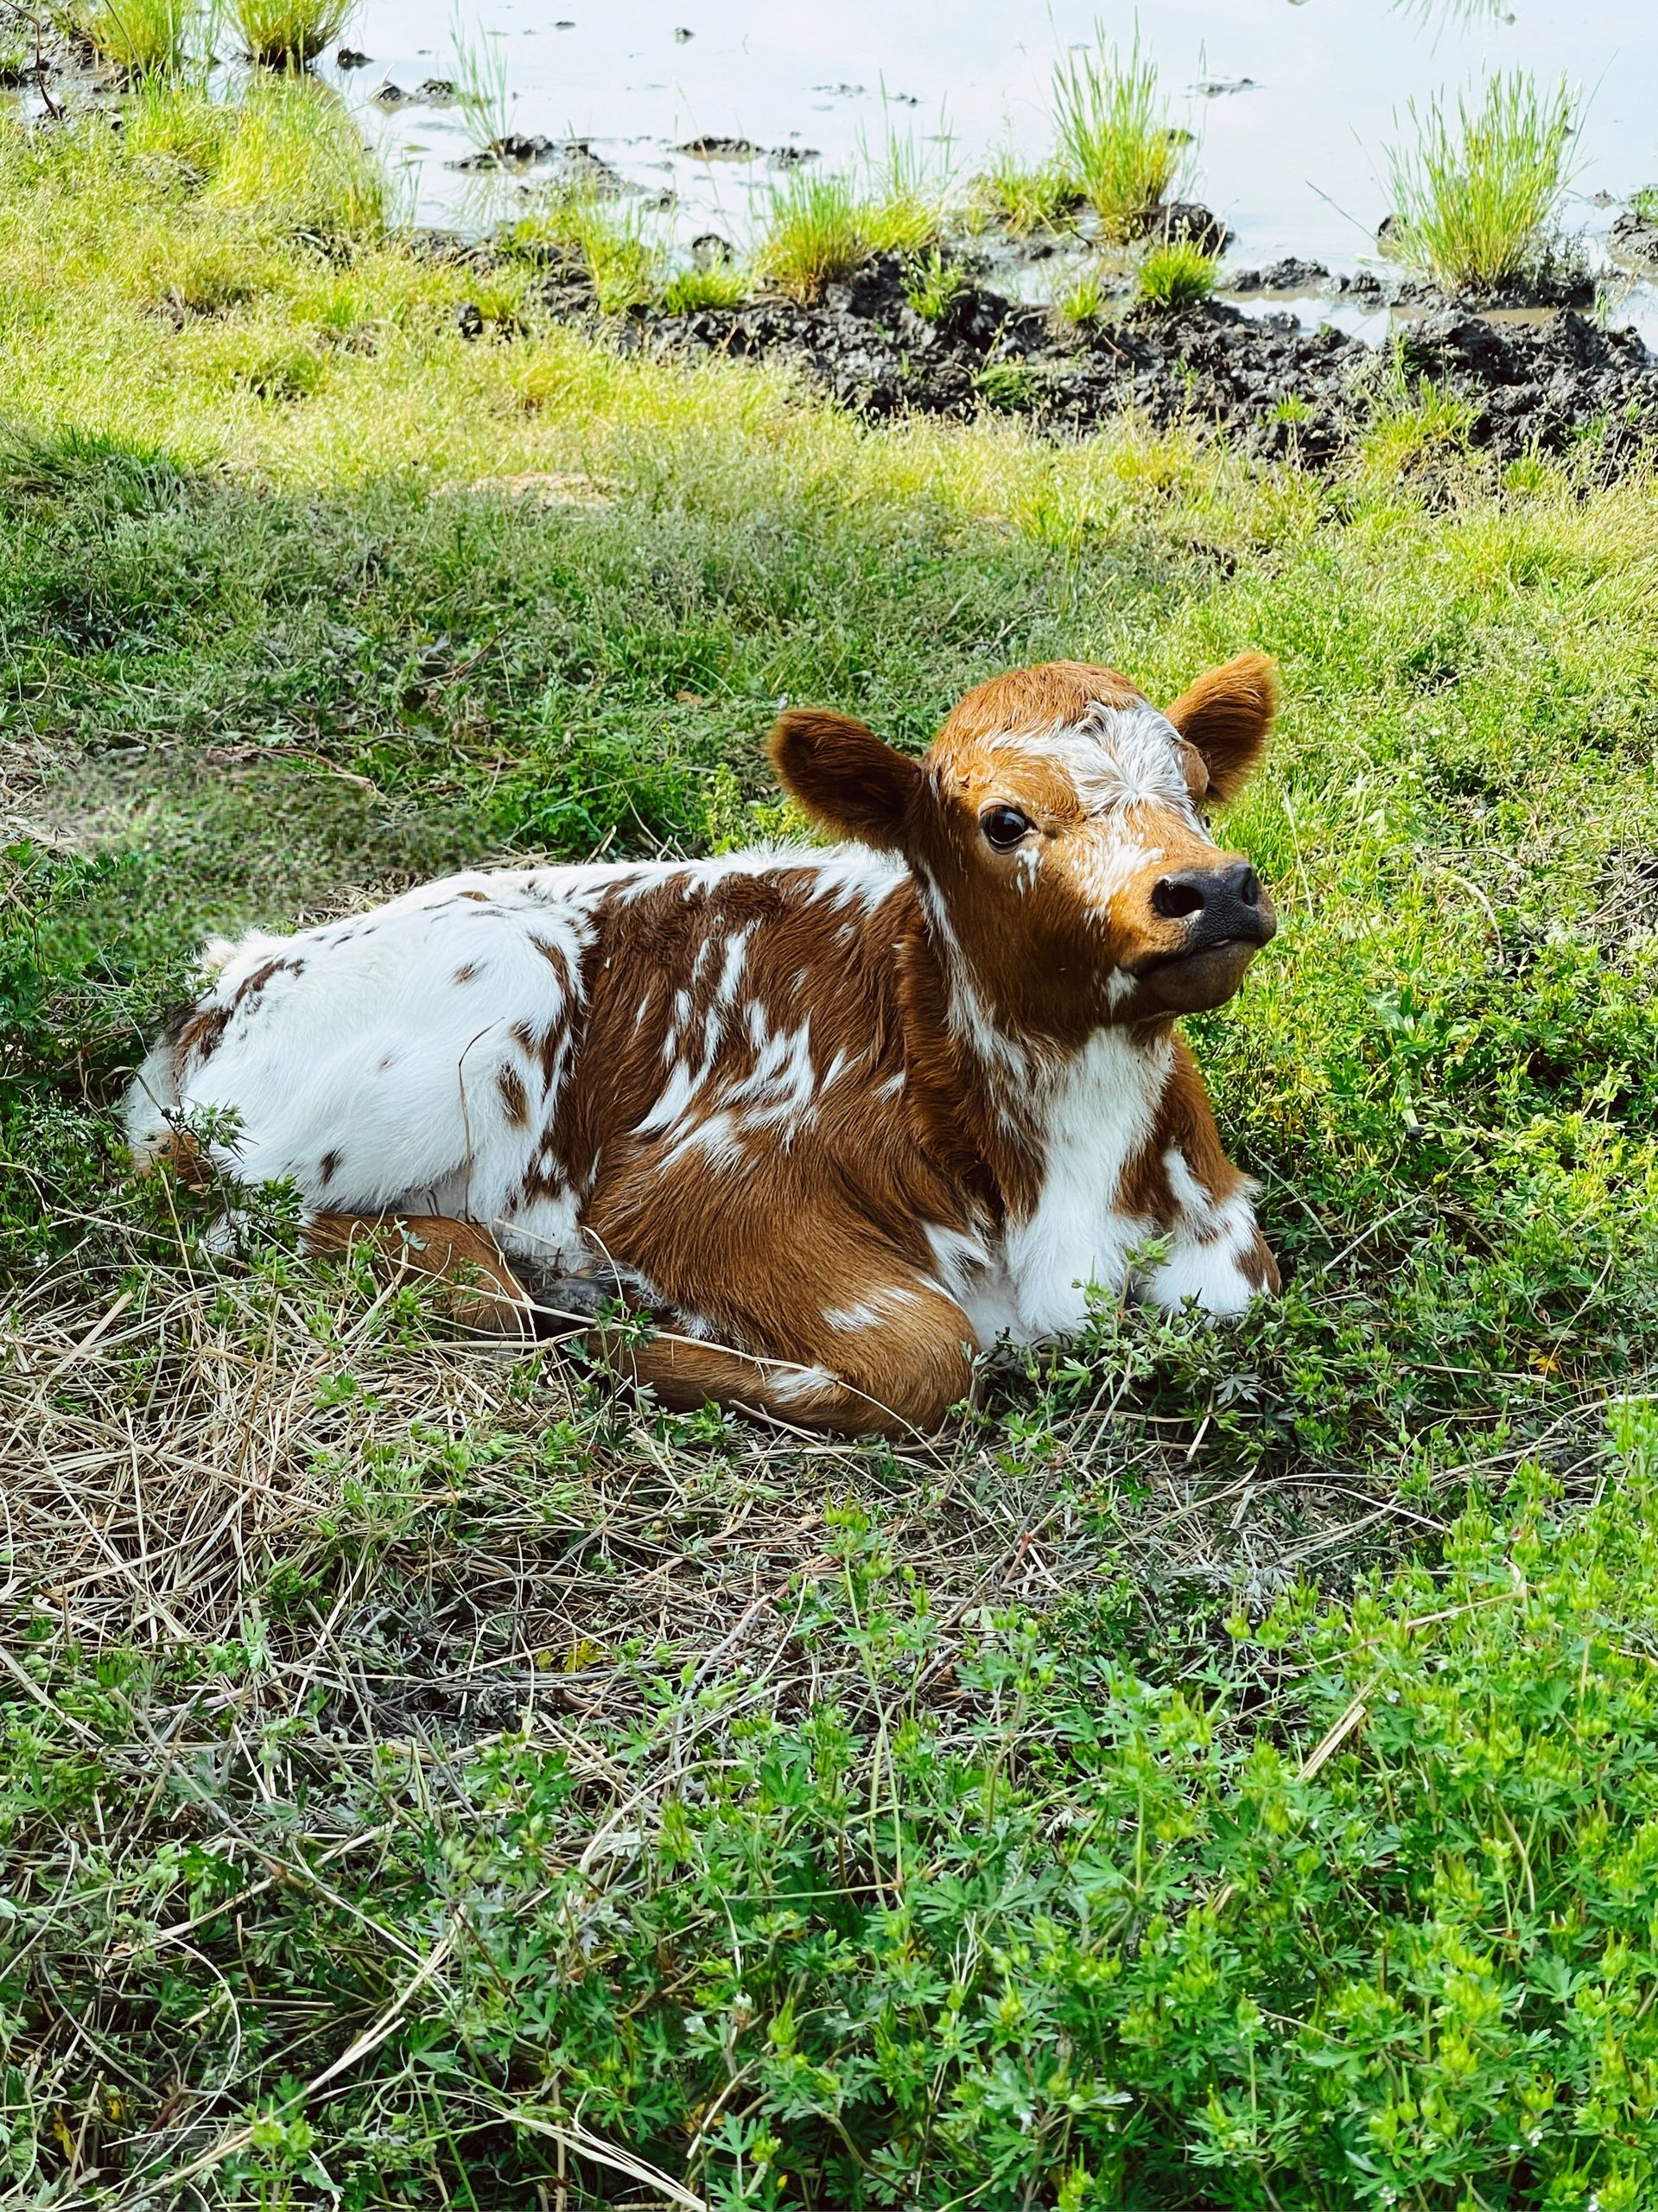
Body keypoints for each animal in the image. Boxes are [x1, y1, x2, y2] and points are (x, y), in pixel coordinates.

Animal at [125, 652, 1282, 1437]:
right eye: (1003, 820)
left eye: (1193, 788)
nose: (1215, 888)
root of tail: (231, 974)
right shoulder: (698, 1186)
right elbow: (929, 1350)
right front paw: (637, 1336)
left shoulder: (1222, 1236)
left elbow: (1235, 1289)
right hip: (498, 974)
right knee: (228, 1211)